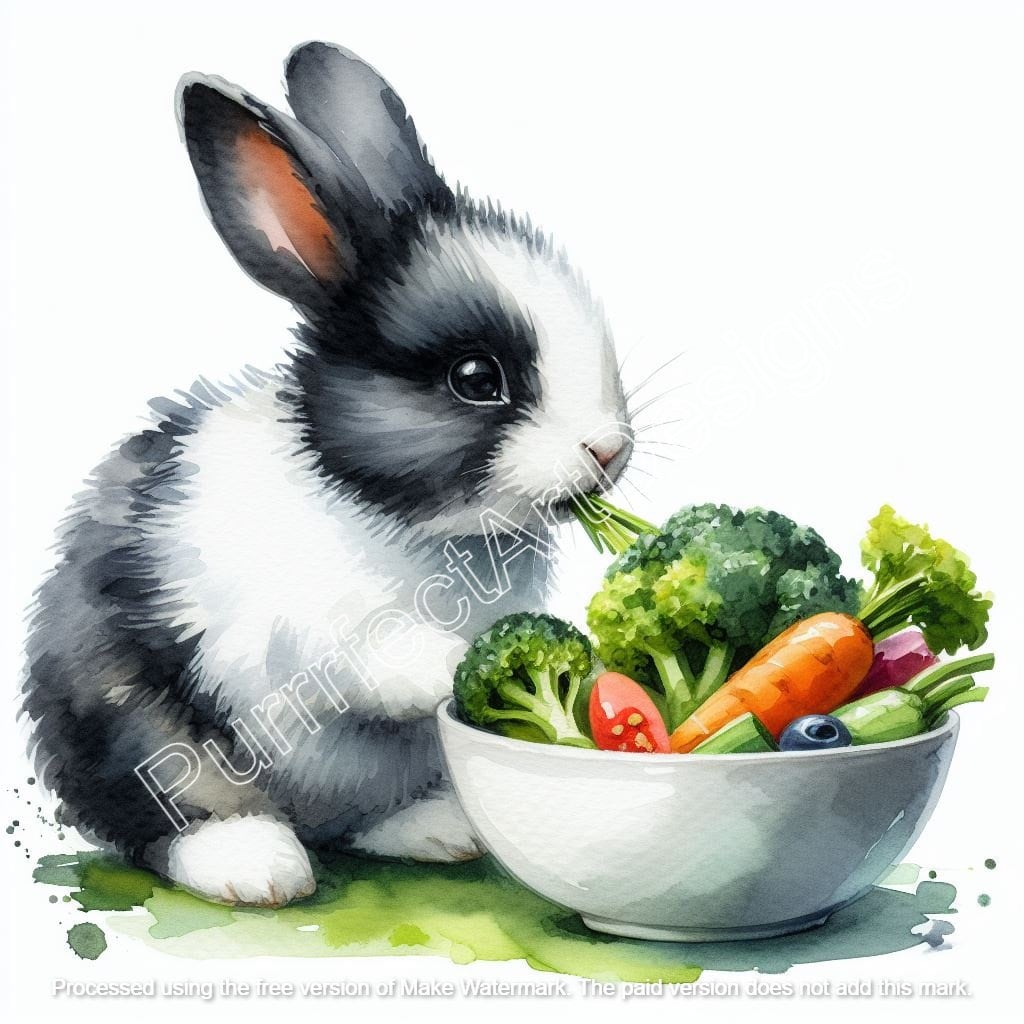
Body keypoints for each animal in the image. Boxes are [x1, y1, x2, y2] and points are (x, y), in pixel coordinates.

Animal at [20, 41, 634, 908]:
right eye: (476, 378)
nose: (609, 449)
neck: (389, 511)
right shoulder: (300, 629)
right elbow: (373, 660)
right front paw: (453, 662)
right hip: (140, 737)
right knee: (162, 827)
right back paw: (256, 867)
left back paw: (440, 831)